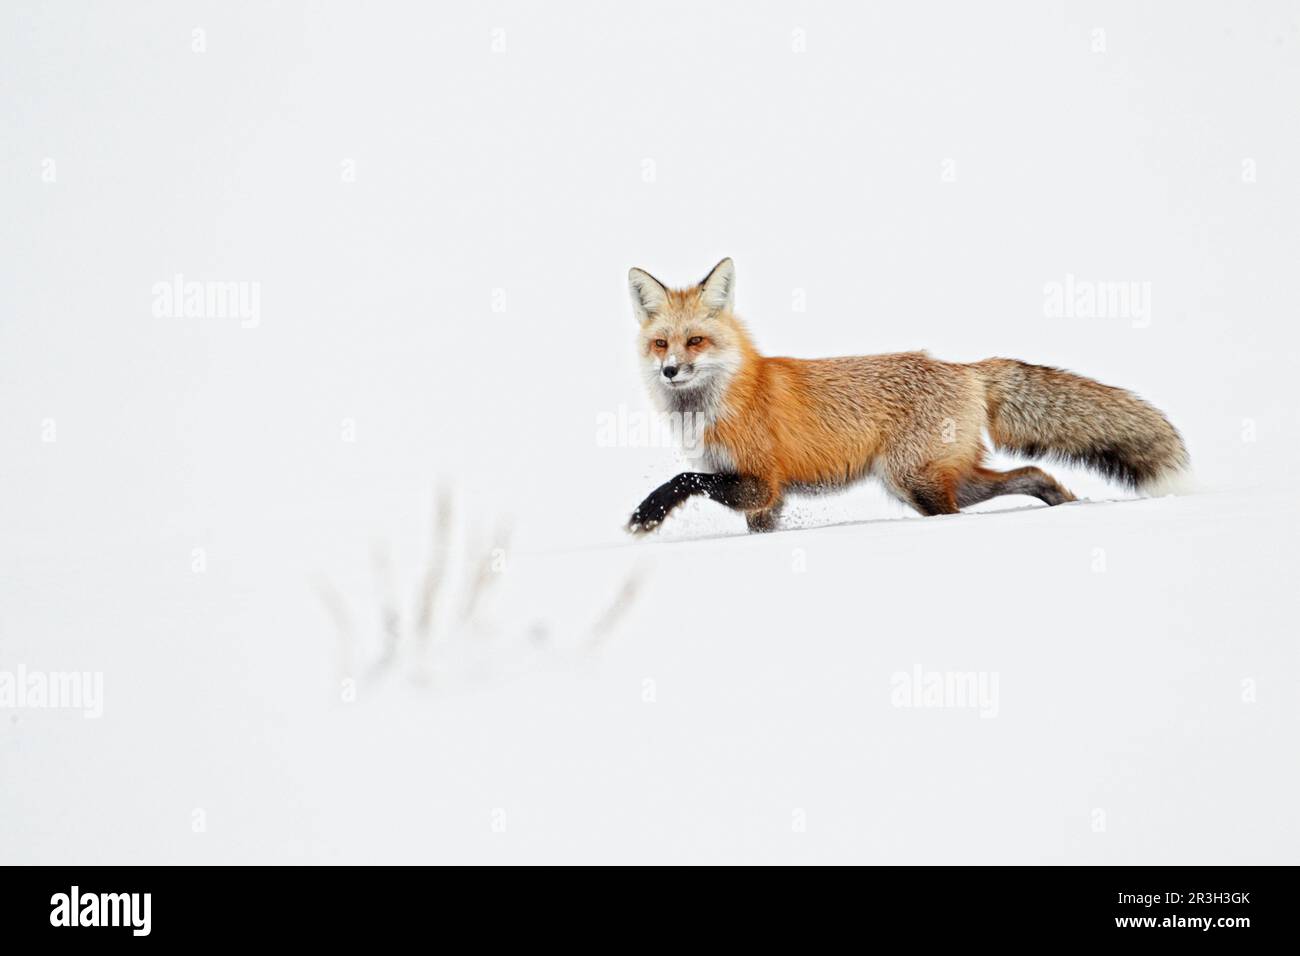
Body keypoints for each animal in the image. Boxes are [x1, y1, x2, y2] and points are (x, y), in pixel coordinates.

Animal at [625, 257, 1189, 535]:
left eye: (696, 340)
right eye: (661, 343)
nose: (670, 371)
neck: (717, 404)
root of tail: (964, 370)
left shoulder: (763, 483)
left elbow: (685, 479)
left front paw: (646, 516)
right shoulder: (766, 501)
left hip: (912, 481)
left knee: (962, 513)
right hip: (932, 479)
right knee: (1031, 472)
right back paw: (1066, 506)